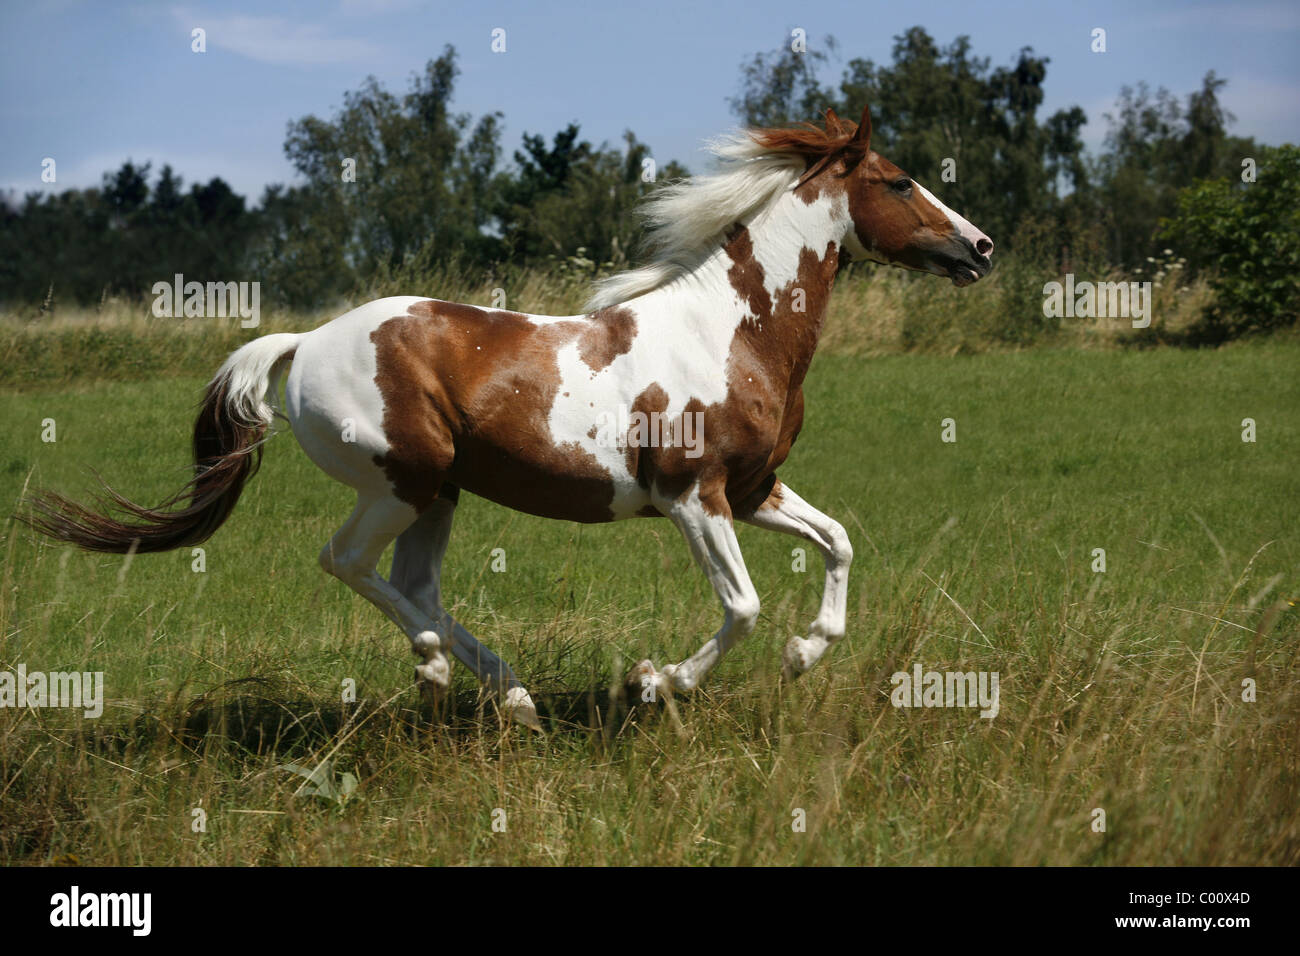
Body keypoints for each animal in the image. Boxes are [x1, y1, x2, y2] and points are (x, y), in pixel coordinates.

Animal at [22, 105, 993, 731]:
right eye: (900, 181)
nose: (980, 247)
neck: (730, 332)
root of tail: (306, 339)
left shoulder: (755, 490)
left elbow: (838, 543)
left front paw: (802, 654)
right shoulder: (694, 497)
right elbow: (744, 605)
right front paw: (653, 684)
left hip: (440, 494)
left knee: (413, 583)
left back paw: (508, 695)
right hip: (402, 480)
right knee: (350, 564)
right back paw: (439, 665)